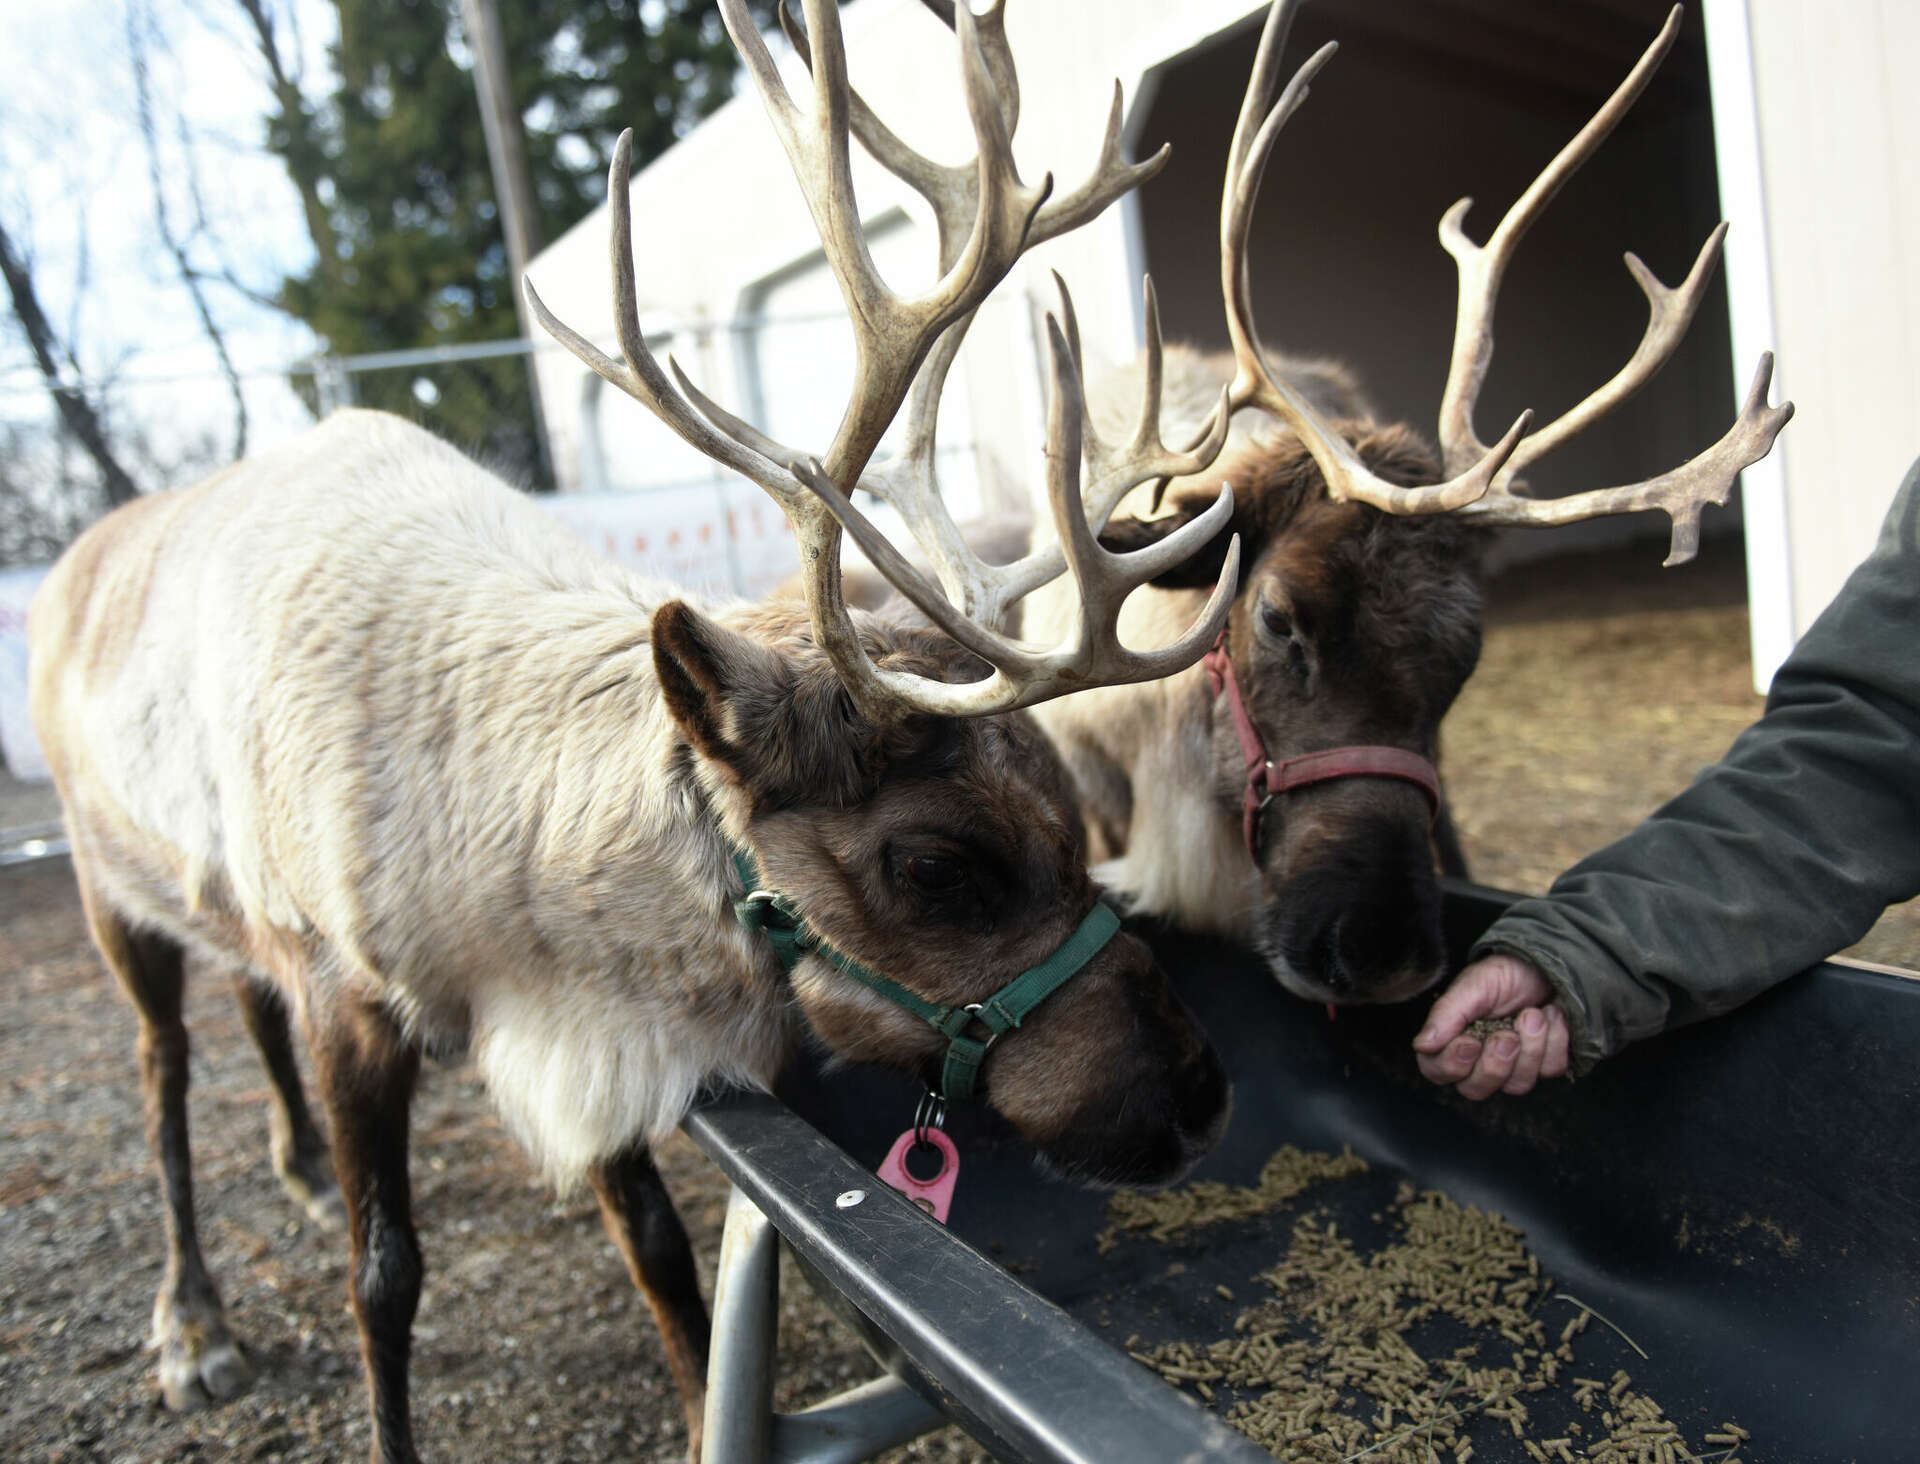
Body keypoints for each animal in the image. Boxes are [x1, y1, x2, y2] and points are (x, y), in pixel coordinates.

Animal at [26, 3, 1248, 1460]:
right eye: (936, 863)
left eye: (1076, 818)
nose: (1202, 1092)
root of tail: (70, 563)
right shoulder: (345, 994)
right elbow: (385, 1280)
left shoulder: (583, 1030)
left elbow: (660, 1248)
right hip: (109, 894)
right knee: (162, 1073)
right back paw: (195, 1324)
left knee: (235, 1002)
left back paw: (295, 1167)